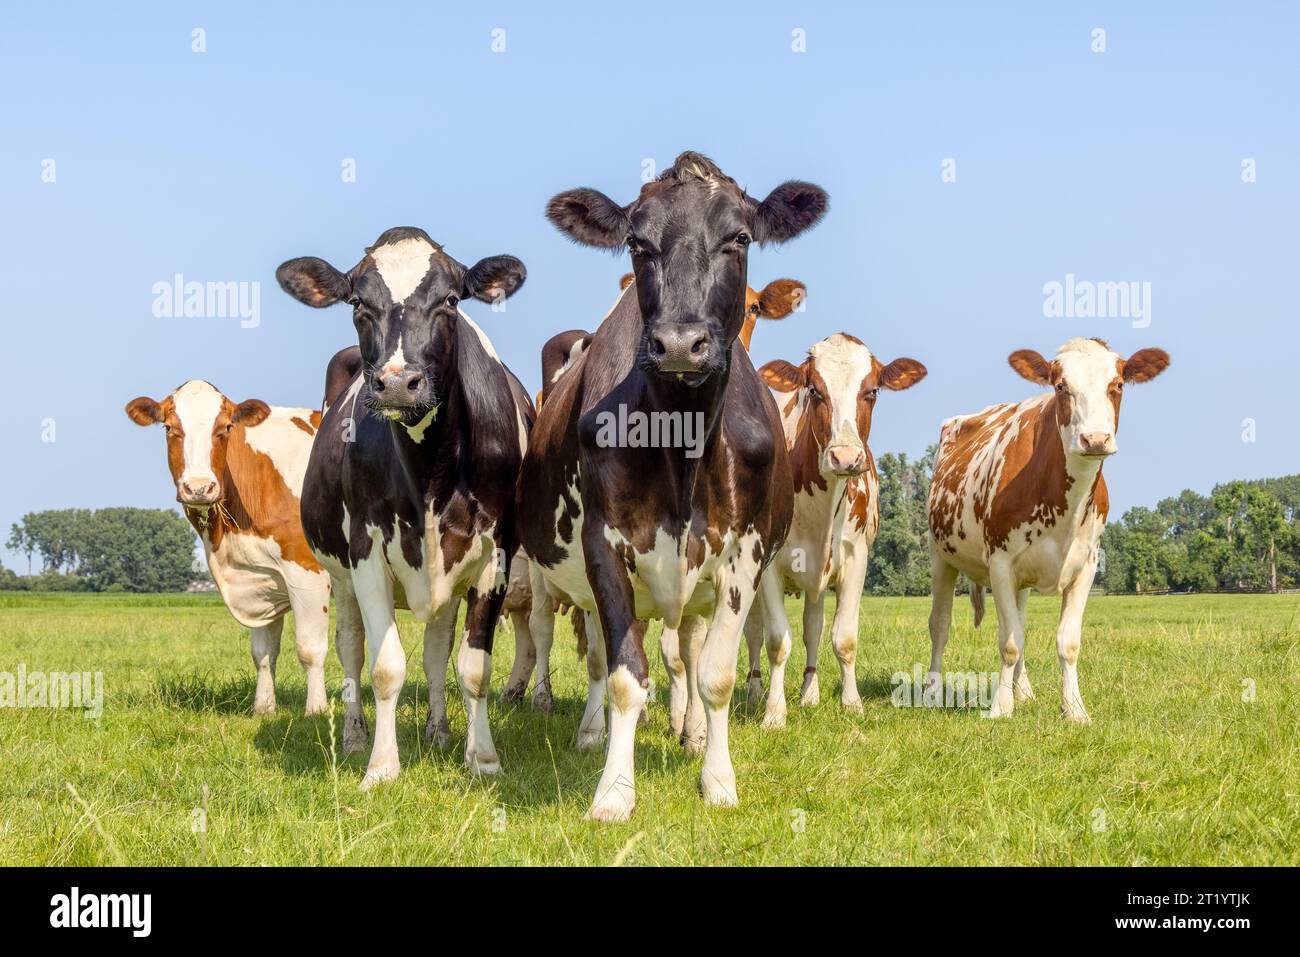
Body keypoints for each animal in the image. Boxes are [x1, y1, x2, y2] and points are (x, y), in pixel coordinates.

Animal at [125, 381, 331, 716]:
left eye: (225, 427)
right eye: (169, 427)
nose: (198, 488)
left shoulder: (307, 571)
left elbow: (310, 649)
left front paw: (316, 711)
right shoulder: (261, 577)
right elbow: (263, 652)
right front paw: (263, 707)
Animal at [276, 226, 531, 788]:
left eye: (451, 300)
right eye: (356, 302)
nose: (396, 382)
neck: (430, 470)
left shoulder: (495, 554)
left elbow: (472, 667)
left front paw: (483, 759)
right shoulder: (367, 551)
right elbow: (385, 666)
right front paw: (381, 766)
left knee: (437, 649)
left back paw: (438, 731)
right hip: (341, 575)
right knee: (350, 647)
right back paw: (353, 736)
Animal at [518, 151, 828, 821]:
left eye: (740, 238)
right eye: (637, 242)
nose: (681, 343)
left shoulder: (744, 553)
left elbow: (714, 673)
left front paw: (718, 780)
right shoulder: (606, 548)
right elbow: (623, 675)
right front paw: (613, 791)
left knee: (687, 645)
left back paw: (691, 733)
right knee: (595, 651)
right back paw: (592, 731)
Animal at [749, 334, 927, 726]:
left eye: (872, 391)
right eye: (815, 390)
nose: (845, 458)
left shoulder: (856, 557)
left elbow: (843, 637)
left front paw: (851, 702)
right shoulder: (767, 565)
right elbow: (775, 640)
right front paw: (774, 713)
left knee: (813, 626)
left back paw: (810, 691)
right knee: (752, 631)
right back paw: (755, 691)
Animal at [926, 337, 1169, 723]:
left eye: (1117, 385)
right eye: (1060, 387)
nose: (1095, 439)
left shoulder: (1086, 565)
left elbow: (1066, 641)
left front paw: (1074, 709)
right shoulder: (1000, 562)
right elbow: (1009, 642)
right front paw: (1001, 707)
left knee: (1018, 619)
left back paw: (1023, 691)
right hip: (940, 555)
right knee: (940, 624)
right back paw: (933, 692)